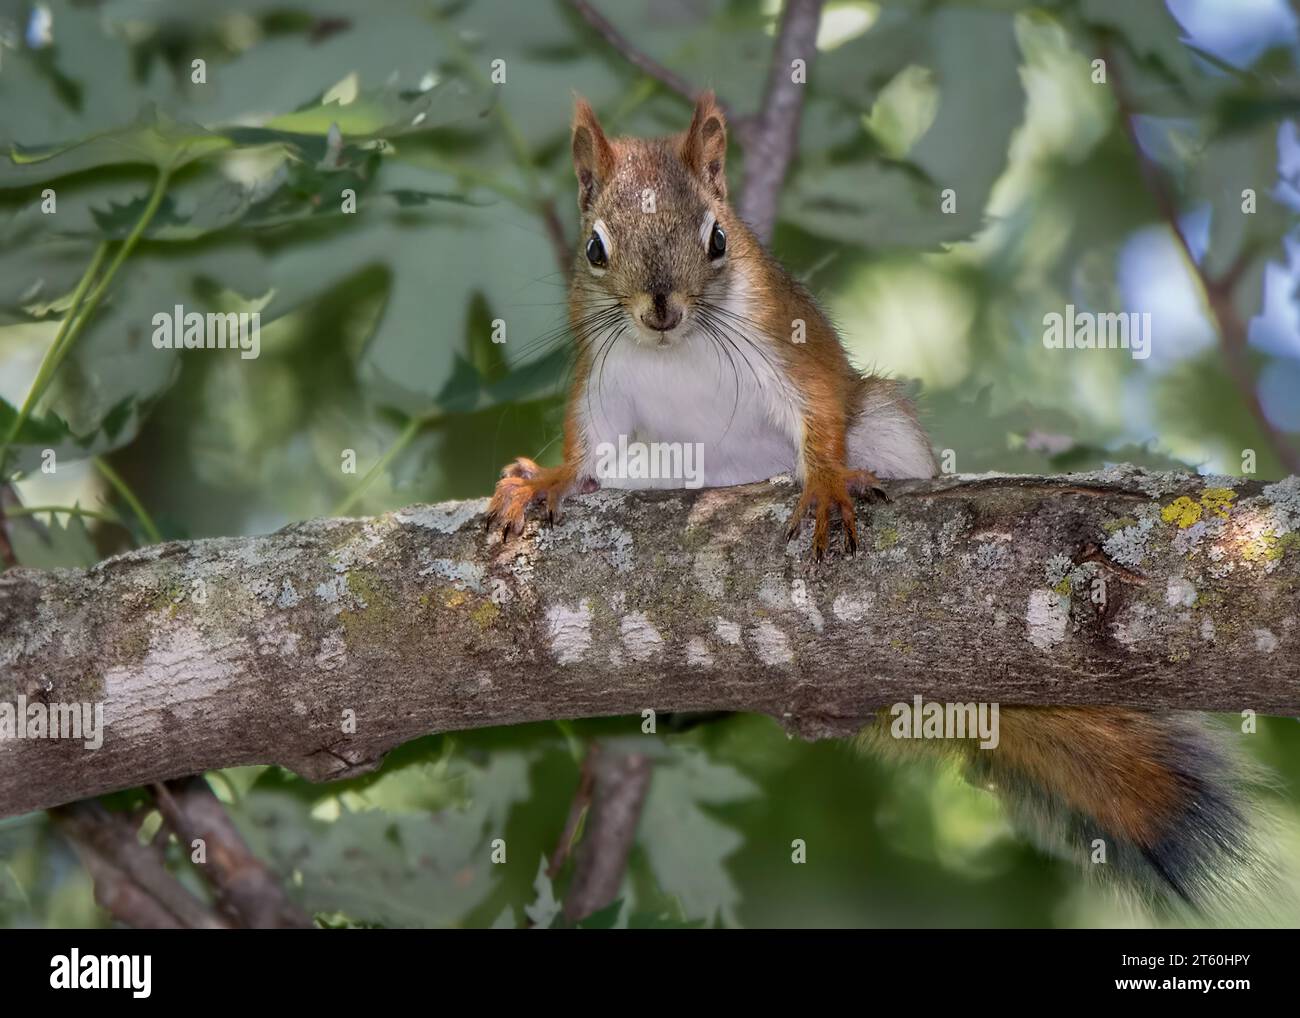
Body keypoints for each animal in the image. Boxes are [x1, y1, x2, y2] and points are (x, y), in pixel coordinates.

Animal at [487, 92, 1270, 910]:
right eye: (594, 249)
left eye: (717, 238)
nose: (660, 309)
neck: (676, 349)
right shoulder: (603, 378)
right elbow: (589, 452)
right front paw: (542, 481)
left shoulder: (785, 340)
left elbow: (820, 410)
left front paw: (828, 481)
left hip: (888, 424)